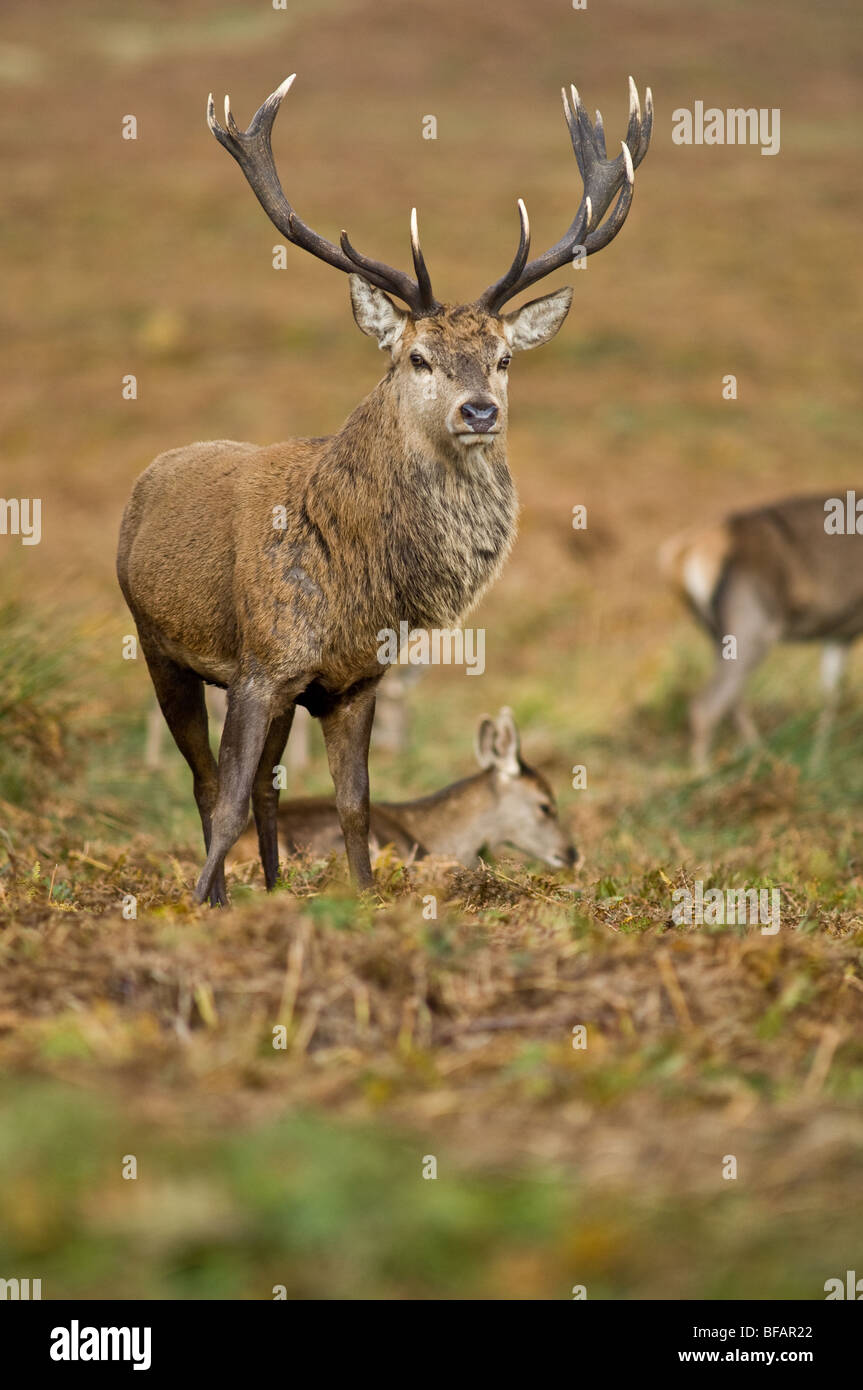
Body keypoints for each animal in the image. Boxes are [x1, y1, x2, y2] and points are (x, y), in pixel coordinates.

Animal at [660, 494, 863, 772]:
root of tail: (681, 555)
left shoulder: (839, 633)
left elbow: (830, 696)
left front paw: (818, 763)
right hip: (753, 623)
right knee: (705, 706)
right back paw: (707, 774)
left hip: (718, 633)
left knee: (732, 699)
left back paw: (759, 757)